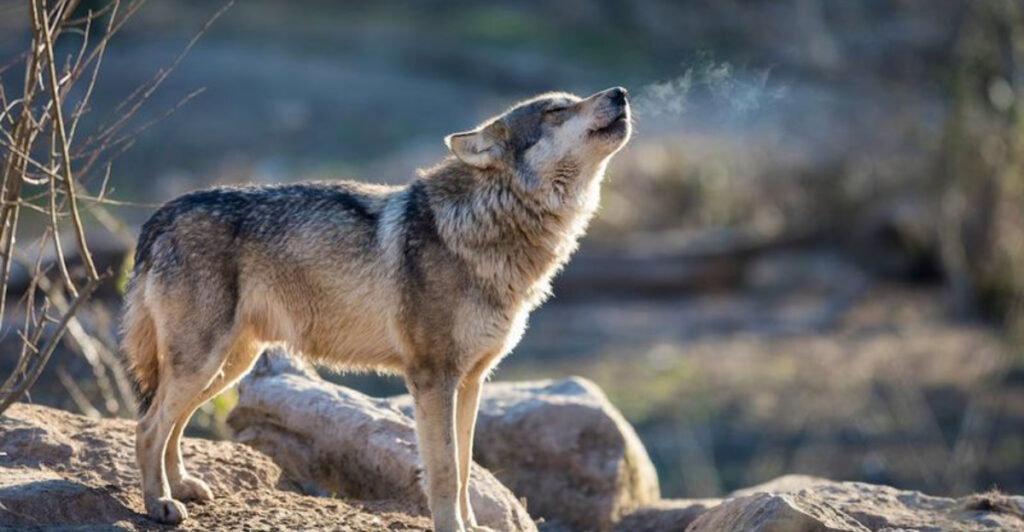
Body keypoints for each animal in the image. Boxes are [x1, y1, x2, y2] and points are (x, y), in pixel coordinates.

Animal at [121, 87, 631, 531]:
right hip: (203, 364)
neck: (484, 223)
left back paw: (182, 487)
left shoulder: (471, 381)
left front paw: (471, 526)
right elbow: (445, 472)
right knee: (147, 428)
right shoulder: (432, 379)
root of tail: (160, 215)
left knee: (172, 426)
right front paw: (451, 527)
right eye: (557, 111)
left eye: (573, 100)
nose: (620, 93)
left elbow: (466, 466)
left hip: (227, 367)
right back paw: (159, 504)